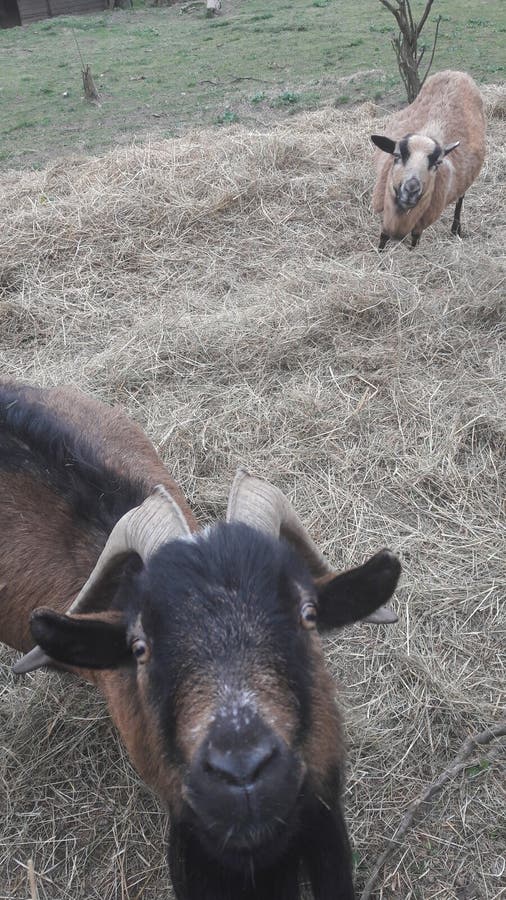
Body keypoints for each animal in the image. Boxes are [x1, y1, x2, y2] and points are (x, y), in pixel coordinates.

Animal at [371, 70, 486, 249]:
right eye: (397, 156)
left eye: (437, 163)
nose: (411, 189)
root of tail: (458, 73)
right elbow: (383, 238)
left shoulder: (421, 223)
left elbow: (414, 243)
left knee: (460, 199)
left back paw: (455, 230)